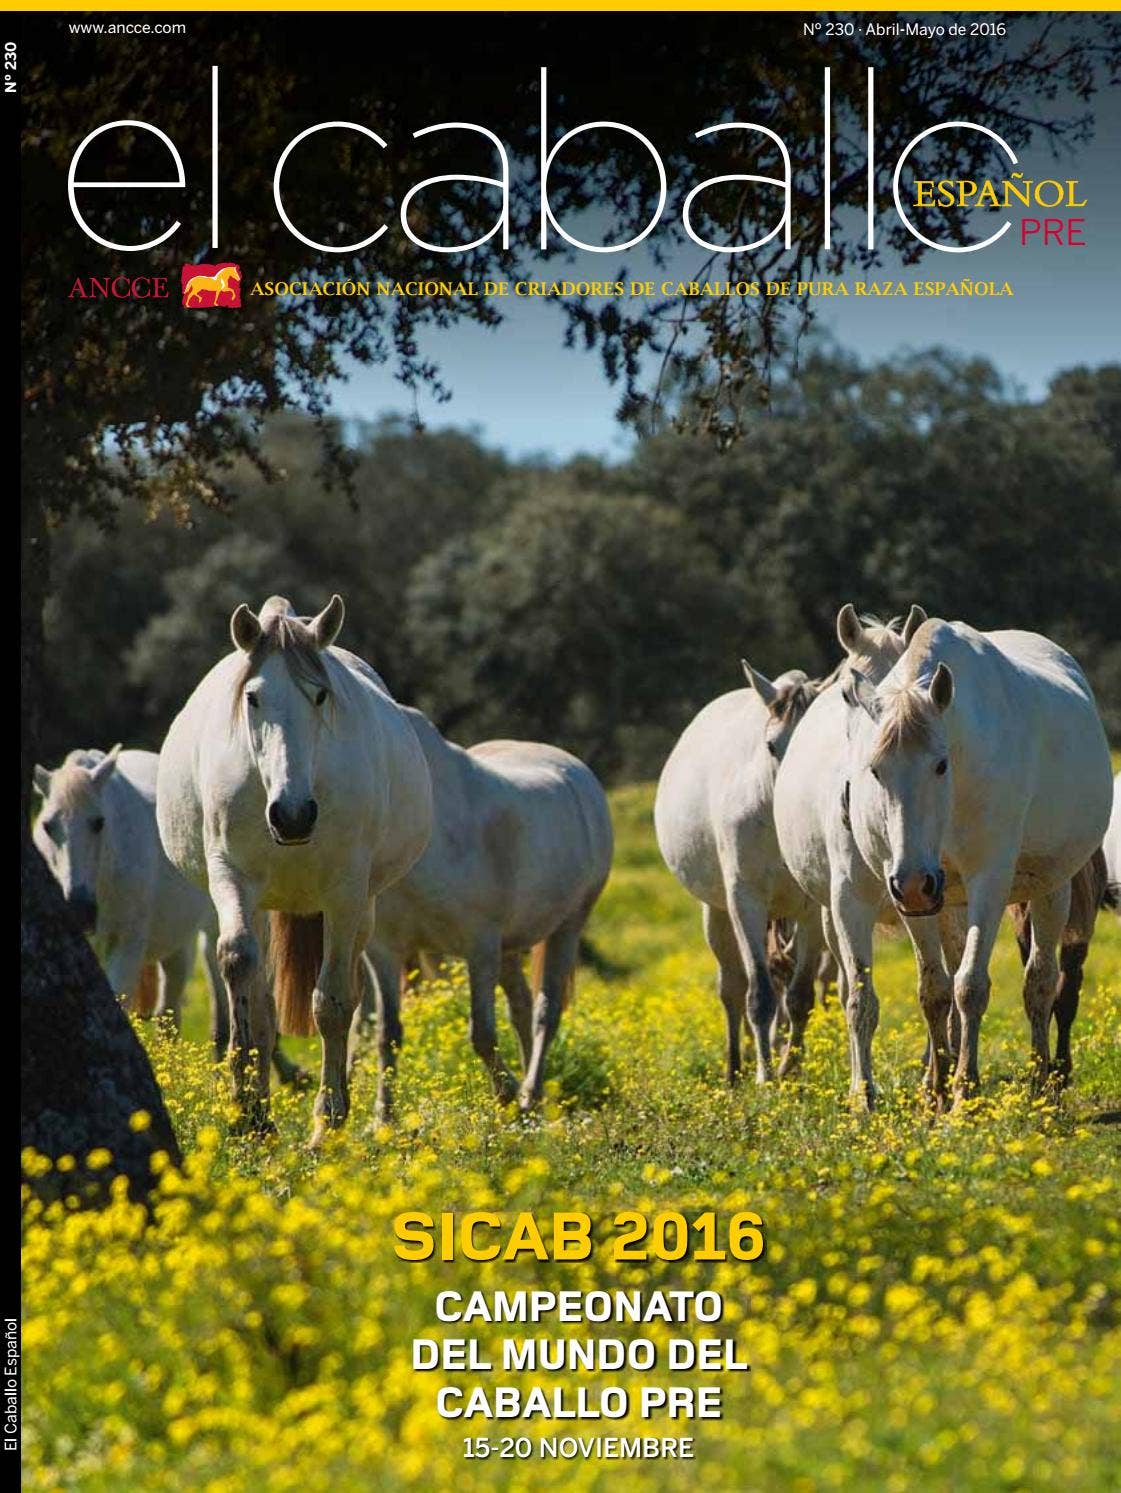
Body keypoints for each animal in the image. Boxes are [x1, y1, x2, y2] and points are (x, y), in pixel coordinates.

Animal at [156, 594, 433, 1140]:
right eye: (253, 698)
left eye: (320, 695)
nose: (292, 815)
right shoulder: (231, 876)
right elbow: (240, 972)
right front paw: (247, 1112)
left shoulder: (345, 892)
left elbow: (332, 1002)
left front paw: (326, 1124)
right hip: (264, 901)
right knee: (263, 998)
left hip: (361, 906)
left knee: (353, 989)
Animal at [353, 709, 613, 1119]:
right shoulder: (385, 952)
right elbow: (387, 1033)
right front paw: (383, 1118)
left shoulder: (480, 948)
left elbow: (482, 1034)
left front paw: (506, 1095)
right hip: (509, 948)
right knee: (521, 1006)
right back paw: (534, 1096)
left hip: (567, 928)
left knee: (546, 1012)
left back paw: (529, 1094)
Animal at [654, 664, 827, 1084]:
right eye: (771, 746)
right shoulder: (744, 900)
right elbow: (759, 994)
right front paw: (765, 1077)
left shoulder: (814, 910)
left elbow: (800, 997)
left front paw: (790, 1070)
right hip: (717, 911)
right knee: (732, 988)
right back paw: (735, 1071)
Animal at [772, 604, 928, 1106]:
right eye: (847, 692)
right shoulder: (846, 903)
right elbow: (860, 999)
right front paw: (864, 1093)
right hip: (826, 914)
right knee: (842, 987)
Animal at [840, 618, 1112, 1108]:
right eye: (875, 769)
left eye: (940, 764)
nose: (914, 881)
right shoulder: (915, 897)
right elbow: (934, 989)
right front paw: (935, 1093)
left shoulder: (989, 883)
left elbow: (970, 987)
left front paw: (964, 1093)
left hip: (1050, 890)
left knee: (1040, 981)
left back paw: (1042, 1079)